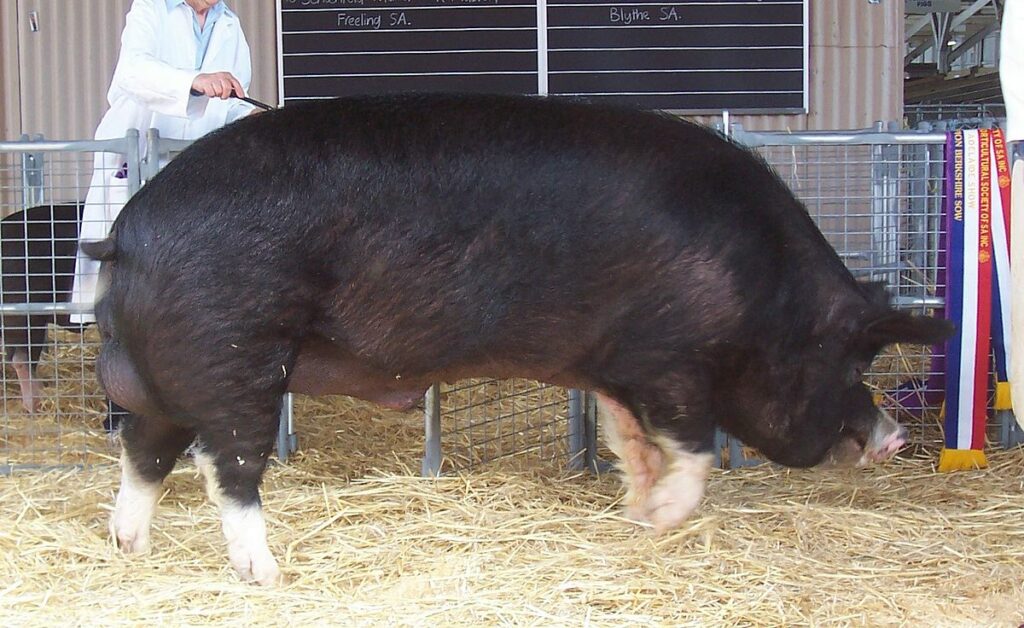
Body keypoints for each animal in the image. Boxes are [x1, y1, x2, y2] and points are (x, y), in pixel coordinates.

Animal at [82, 93, 953, 585]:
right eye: (852, 356)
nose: (896, 436)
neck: (764, 288)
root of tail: (129, 234)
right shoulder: (673, 360)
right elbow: (696, 447)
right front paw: (665, 518)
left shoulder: (616, 365)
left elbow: (628, 435)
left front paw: (636, 510)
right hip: (236, 354)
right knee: (225, 466)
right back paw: (268, 576)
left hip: (164, 379)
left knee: (144, 454)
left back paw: (130, 550)